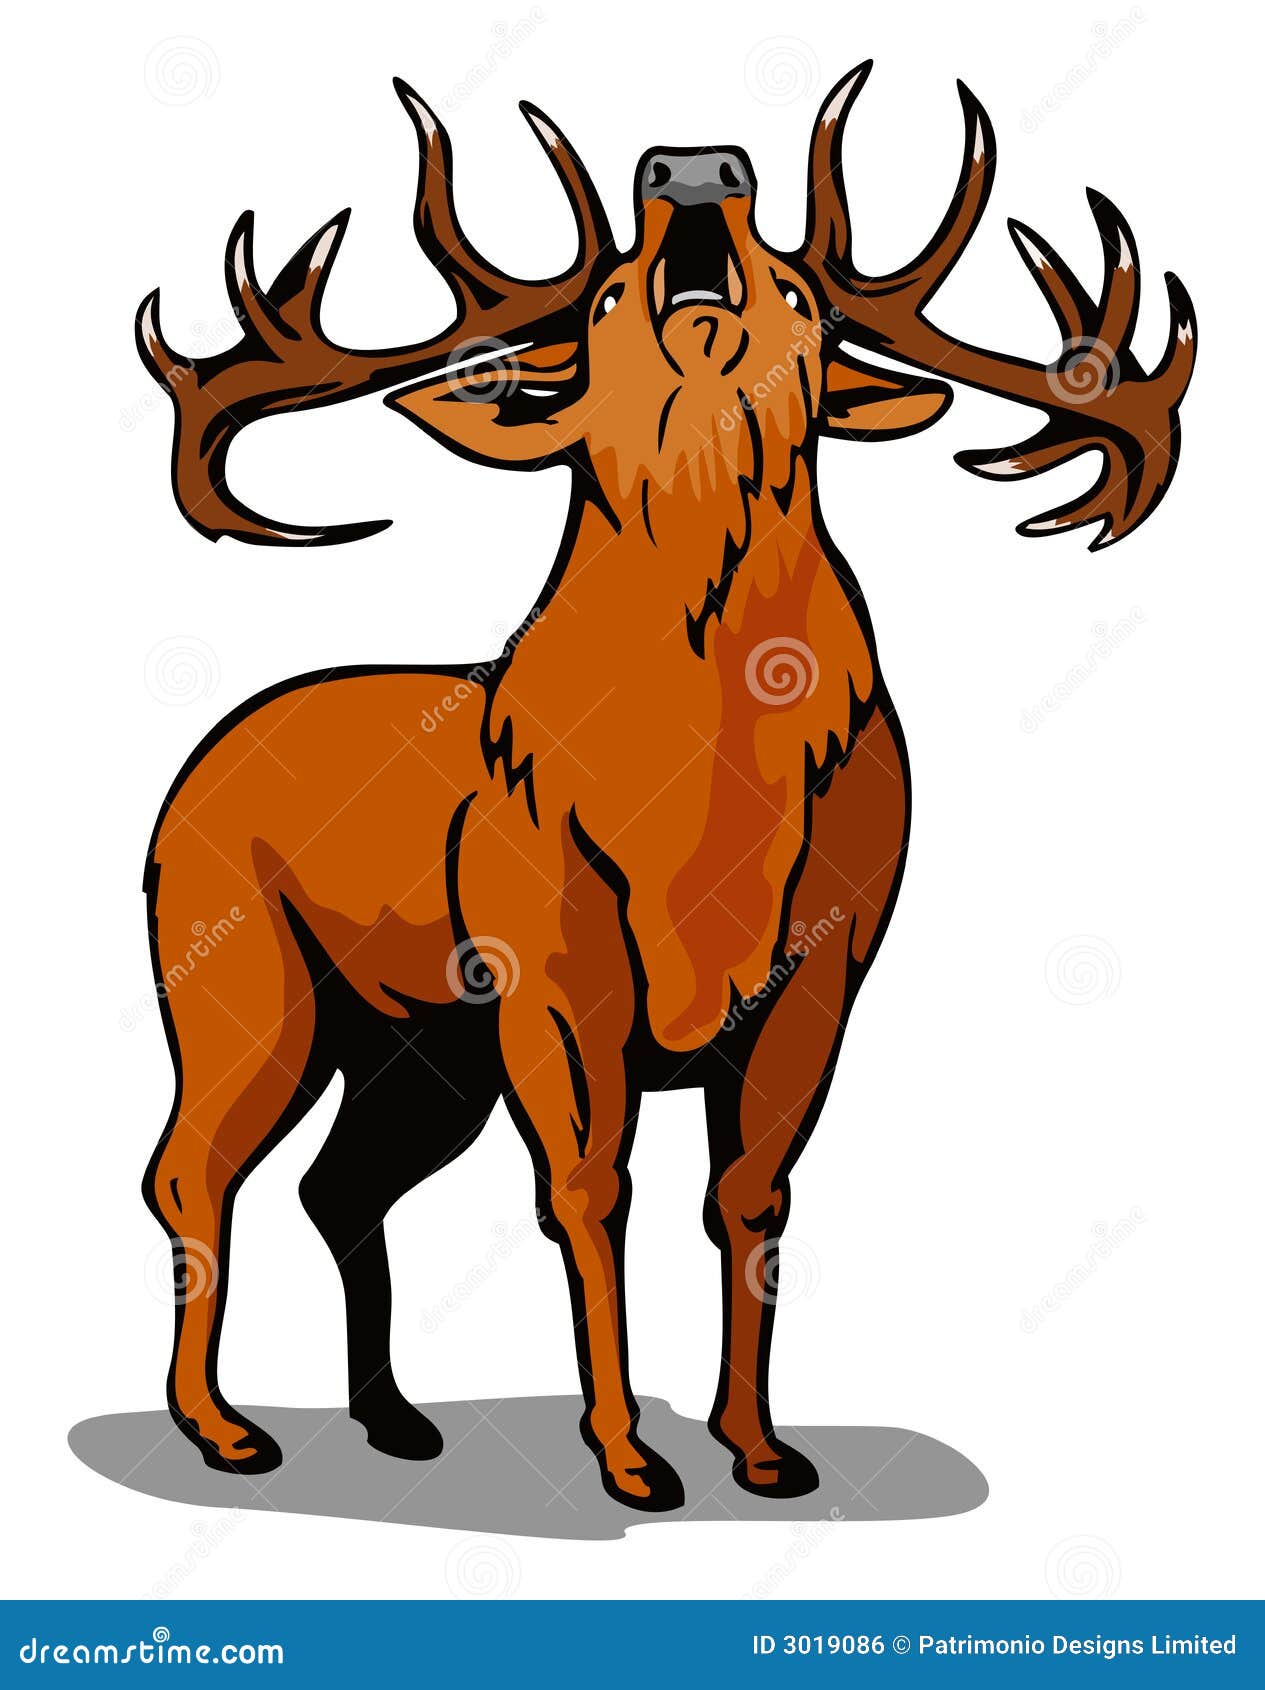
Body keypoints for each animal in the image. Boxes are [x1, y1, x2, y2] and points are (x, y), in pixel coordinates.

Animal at [136, 64, 1195, 1512]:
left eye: (802, 296)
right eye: (594, 304)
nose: (692, 168)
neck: (702, 817)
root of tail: (188, 777)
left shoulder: (824, 968)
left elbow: (751, 1196)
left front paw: (759, 1445)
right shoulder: (550, 960)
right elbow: (589, 1188)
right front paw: (629, 1453)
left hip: (420, 1048)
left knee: (339, 1185)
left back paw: (396, 1419)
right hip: (241, 982)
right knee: (192, 1171)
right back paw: (221, 1426)